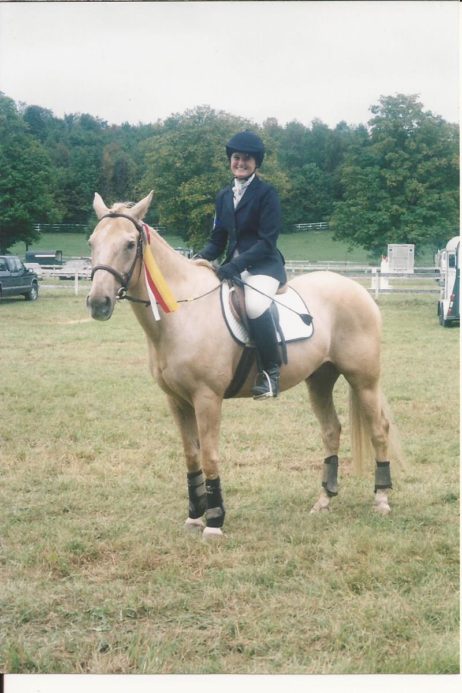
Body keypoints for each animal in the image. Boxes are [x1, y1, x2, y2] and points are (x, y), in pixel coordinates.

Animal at [87, 191, 402, 540]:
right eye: (92, 242)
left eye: (130, 244)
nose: (98, 303)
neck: (183, 313)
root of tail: (358, 289)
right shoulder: (177, 400)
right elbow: (191, 456)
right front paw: (195, 516)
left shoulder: (207, 398)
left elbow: (209, 456)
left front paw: (214, 522)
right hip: (320, 379)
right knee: (331, 430)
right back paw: (323, 501)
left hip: (363, 380)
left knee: (379, 430)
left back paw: (382, 499)